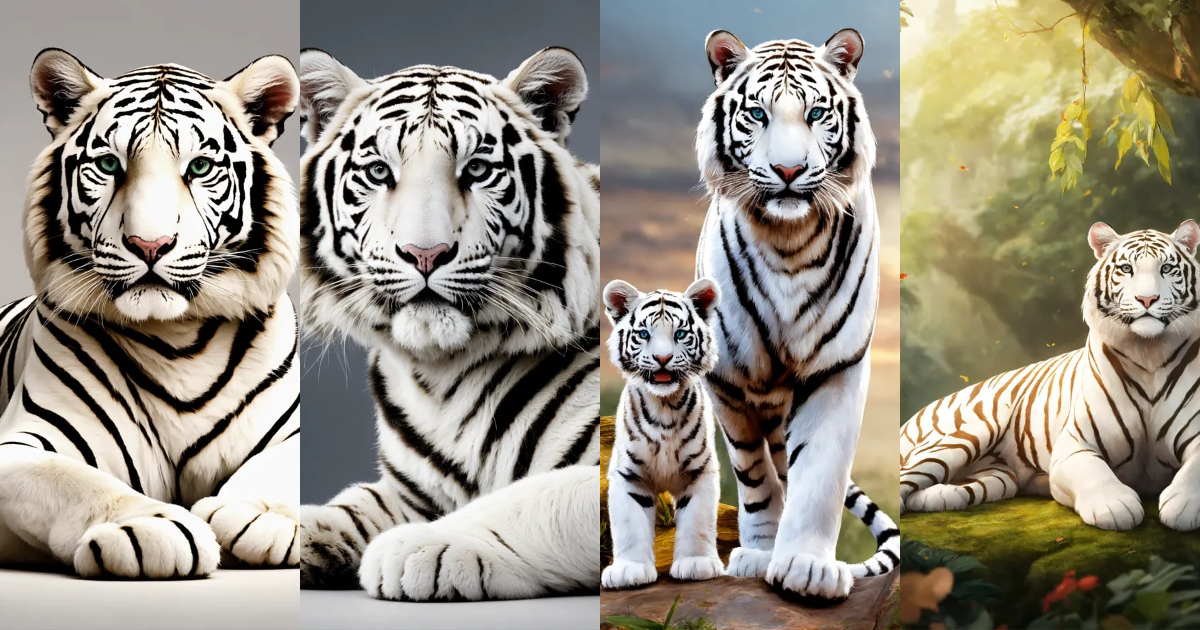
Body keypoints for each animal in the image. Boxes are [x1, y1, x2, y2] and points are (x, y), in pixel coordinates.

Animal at [0, 49, 302, 579]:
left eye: (200, 166)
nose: (150, 244)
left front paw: (258, 513)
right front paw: (148, 526)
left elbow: (283, 464)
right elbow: (70, 479)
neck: (178, 339)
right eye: (108, 164)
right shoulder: (24, 442)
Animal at [294, 46, 601, 601]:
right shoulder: (409, 494)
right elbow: (350, 507)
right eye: (379, 171)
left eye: (477, 169)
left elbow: (538, 499)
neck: (439, 375)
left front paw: (418, 548)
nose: (425, 253)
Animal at [601, 278, 725, 589]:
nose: (663, 358)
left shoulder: (700, 470)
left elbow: (698, 520)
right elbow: (630, 525)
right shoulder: (629, 475)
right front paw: (629, 571)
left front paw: (697, 565)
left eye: (680, 334)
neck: (665, 405)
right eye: (644, 334)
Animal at [692, 29, 899, 599]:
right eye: (757, 114)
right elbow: (754, 475)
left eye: (816, 114)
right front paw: (762, 552)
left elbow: (820, 474)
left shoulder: (836, 367)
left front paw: (806, 566)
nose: (789, 171)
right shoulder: (726, 381)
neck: (789, 240)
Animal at [901, 221, 1200, 533]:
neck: (1148, 354)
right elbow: (1096, 474)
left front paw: (1182, 507)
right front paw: (1114, 506)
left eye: (1167, 268)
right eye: (1126, 268)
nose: (1147, 299)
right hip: (970, 432)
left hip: (997, 477)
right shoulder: (1075, 444)